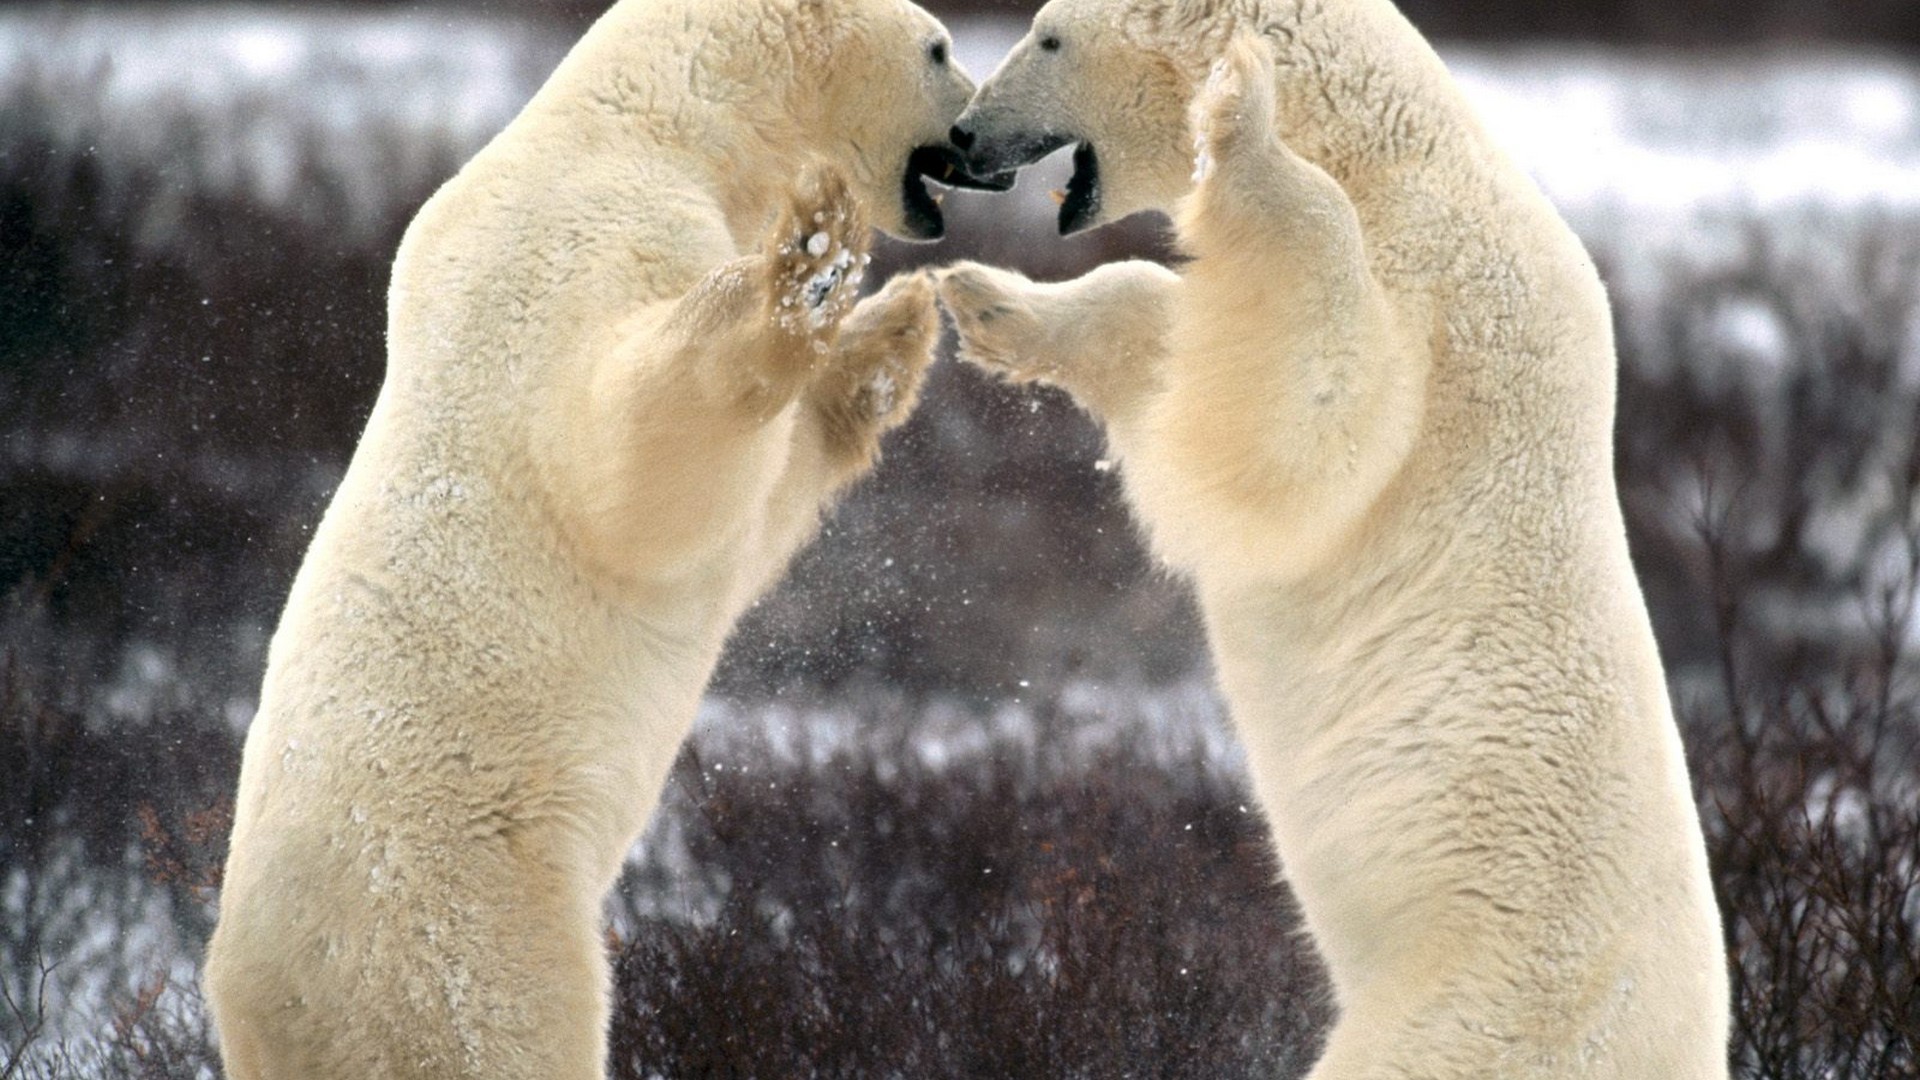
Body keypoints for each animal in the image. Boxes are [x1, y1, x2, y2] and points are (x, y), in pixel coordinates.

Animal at [201, 1, 988, 1077]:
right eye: (940, 49)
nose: (981, 132)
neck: (653, 126)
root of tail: (245, 986)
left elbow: (764, 498)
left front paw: (894, 326)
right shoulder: (582, 250)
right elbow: (638, 461)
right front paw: (811, 257)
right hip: (453, 919)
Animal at [935, 1, 1731, 1076]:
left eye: (1050, 36)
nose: (966, 138)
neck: (1393, 160)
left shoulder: (1449, 306)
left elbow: (1320, 418)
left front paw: (1238, 114)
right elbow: (1180, 338)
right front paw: (988, 300)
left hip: (1482, 1008)